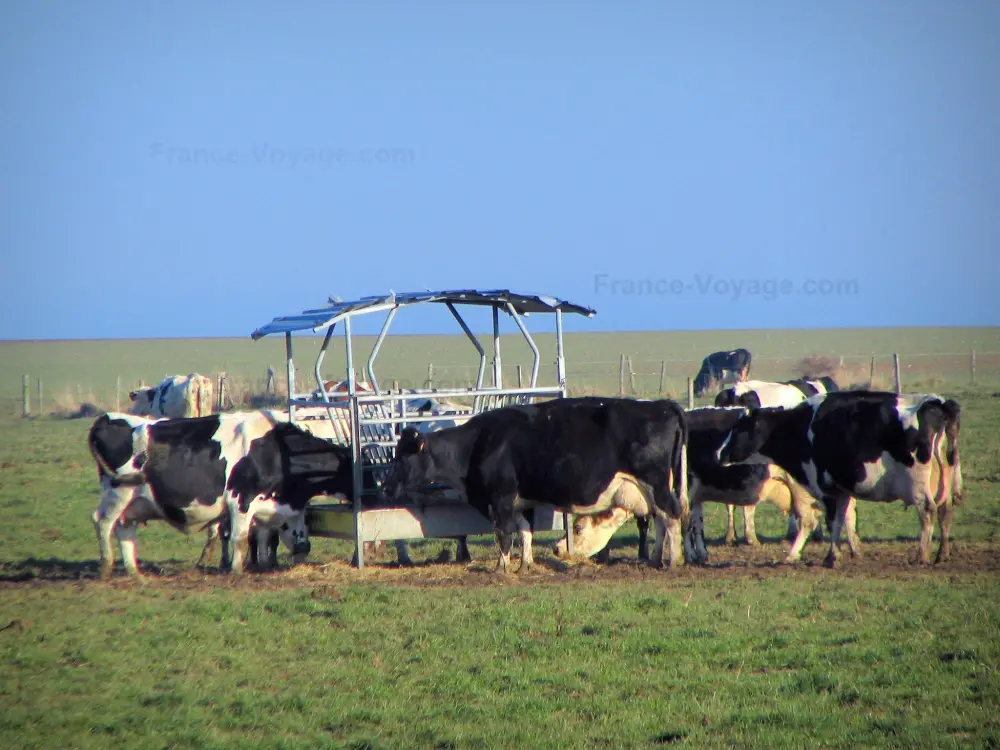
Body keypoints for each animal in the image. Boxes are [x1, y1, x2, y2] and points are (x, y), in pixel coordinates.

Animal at [87, 410, 362, 578]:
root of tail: (106, 419)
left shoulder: (275, 504)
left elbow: (272, 536)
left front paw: (264, 565)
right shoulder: (241, 499)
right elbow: (241, 538)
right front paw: (237, 570)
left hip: (134, 502)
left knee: (125, 528)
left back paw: (134, 572)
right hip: (118, 492)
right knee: (102, 522)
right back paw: (106, 567)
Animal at [383, 396, 691, 573]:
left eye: (403, 457)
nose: (386, 488)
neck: (479, 443)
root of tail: (662, 405)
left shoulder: (501, 497)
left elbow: (503, 532)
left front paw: (502, 567)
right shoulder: (522, 500)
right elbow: (525, 531)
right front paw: (525, 564)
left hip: (656, 483)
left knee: (671, 515)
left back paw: (673, 561)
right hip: (652, 489)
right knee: (661, 519)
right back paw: (655, 559)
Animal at [717, 391, 963, 567]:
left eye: (739, 430)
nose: (719, 454)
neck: (799, 427)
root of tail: (936, 403)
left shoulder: (826, 488)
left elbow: (833, 520)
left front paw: (833, 556)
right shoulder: (841, 489)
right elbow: (843, 518)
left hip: (918, 486)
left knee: (928, 512)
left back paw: (922, 555)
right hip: (946, 481)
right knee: (946, 511)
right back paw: (943, 555)